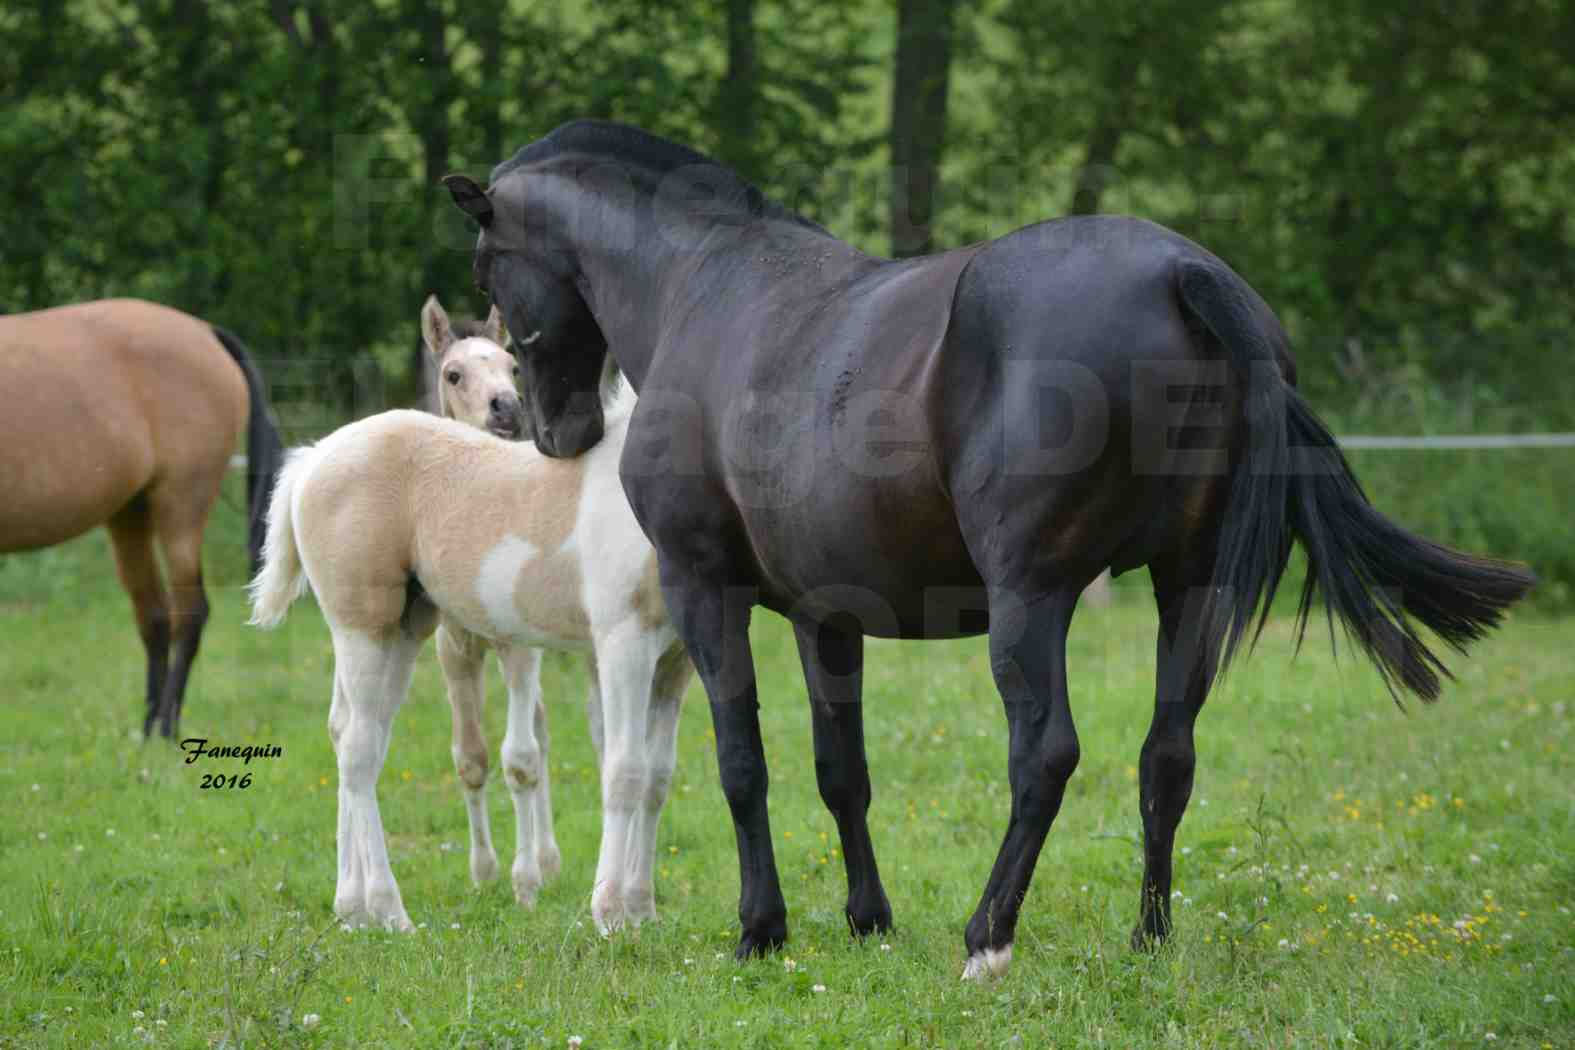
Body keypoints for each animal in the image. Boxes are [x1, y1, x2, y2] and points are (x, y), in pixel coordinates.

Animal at [0, 298, 283, 739]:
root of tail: (204, 331)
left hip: (180, 507)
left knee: (189, 613)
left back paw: (166, 728)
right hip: (130, 514)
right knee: (154, 616)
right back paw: (147, 732)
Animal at [246, 360, 692, 933]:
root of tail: (313, 460)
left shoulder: (676, 661)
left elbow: (657, 779)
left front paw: (642, 909)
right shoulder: (623, 646)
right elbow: (624, 773)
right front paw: (610, 914)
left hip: (403, 632)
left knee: (351, 736)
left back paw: (353, 909)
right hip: (361, 629)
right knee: (359, 752)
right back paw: (390, 911)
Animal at [441, 120, 1536, 978]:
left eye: (489, 272)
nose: (552, 430)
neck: (700, 286)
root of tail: (1184, 273)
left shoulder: (707, 587)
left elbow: (742, 762)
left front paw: (762, 929)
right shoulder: (825, 615)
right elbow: (842, 769)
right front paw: (867, 919)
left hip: (1033, 599)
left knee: (1045, 755)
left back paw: (988, 934)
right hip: (1186, 588)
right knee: (1166, 754)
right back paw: (1147, 938)